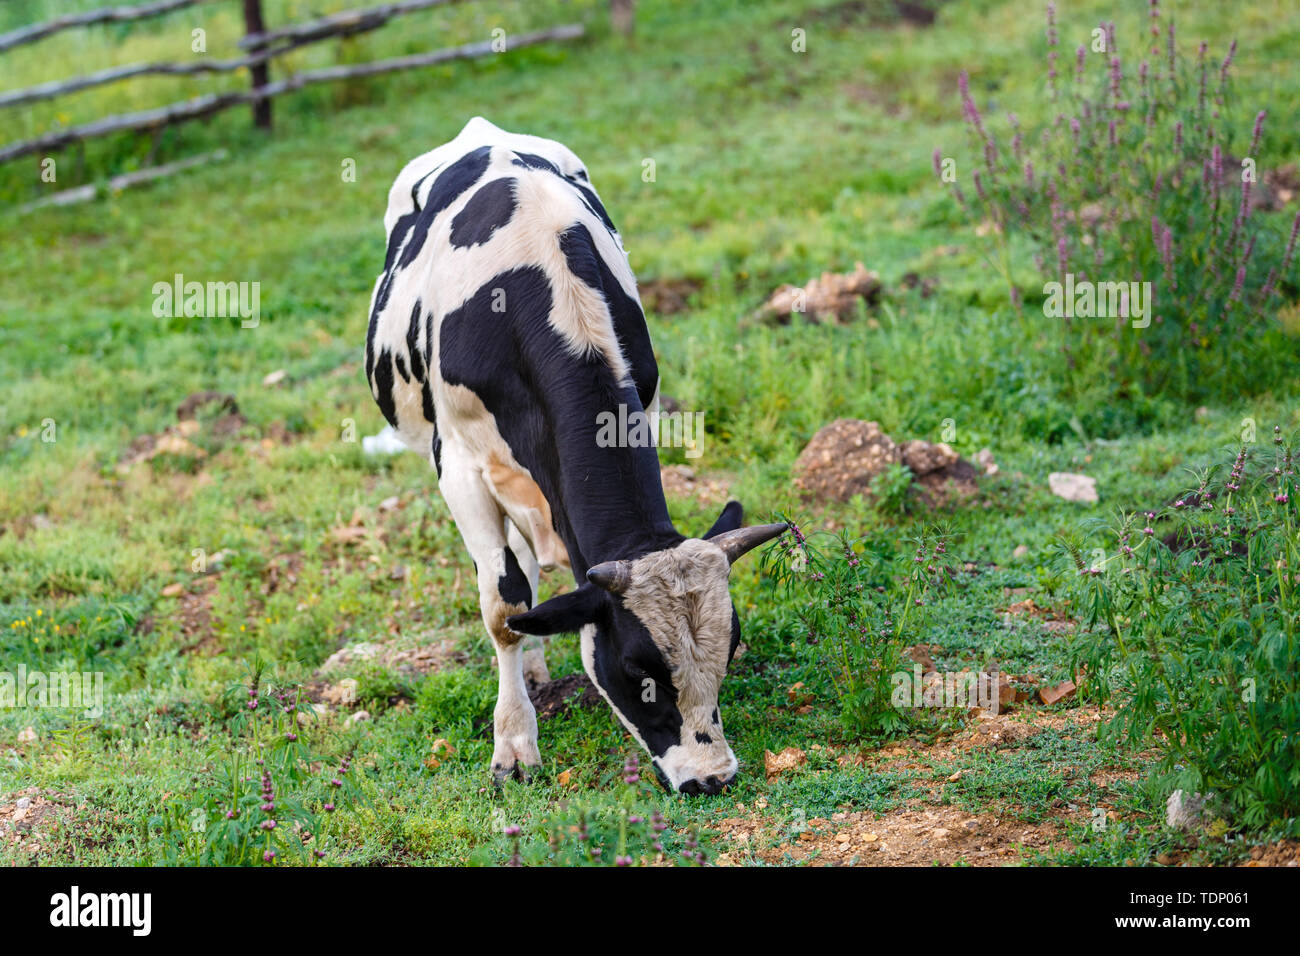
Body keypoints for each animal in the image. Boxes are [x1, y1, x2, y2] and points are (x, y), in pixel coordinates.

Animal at [365, 117, 786, 794]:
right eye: (639, 673)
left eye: (728, 650)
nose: (712, 778)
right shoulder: (458, 465)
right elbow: (503, 603)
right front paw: (513, 745)